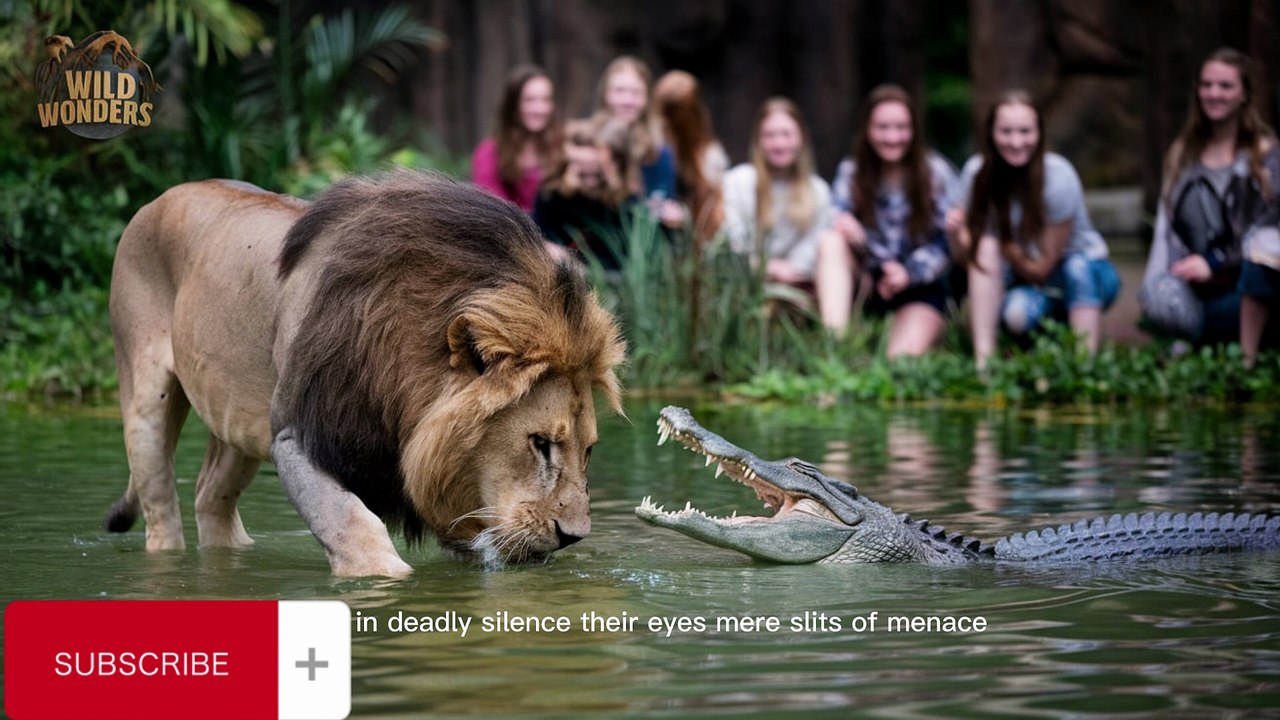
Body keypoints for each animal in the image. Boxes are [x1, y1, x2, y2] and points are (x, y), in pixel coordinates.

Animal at [105, 172, 626, 576]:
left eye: (589, 450)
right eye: (540, 443)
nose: (574, 536)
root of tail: (159, 198)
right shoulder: (295, 437)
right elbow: (352, 524)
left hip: (236, 423)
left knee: (209, 497)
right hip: (145, 399)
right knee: (161, 509)